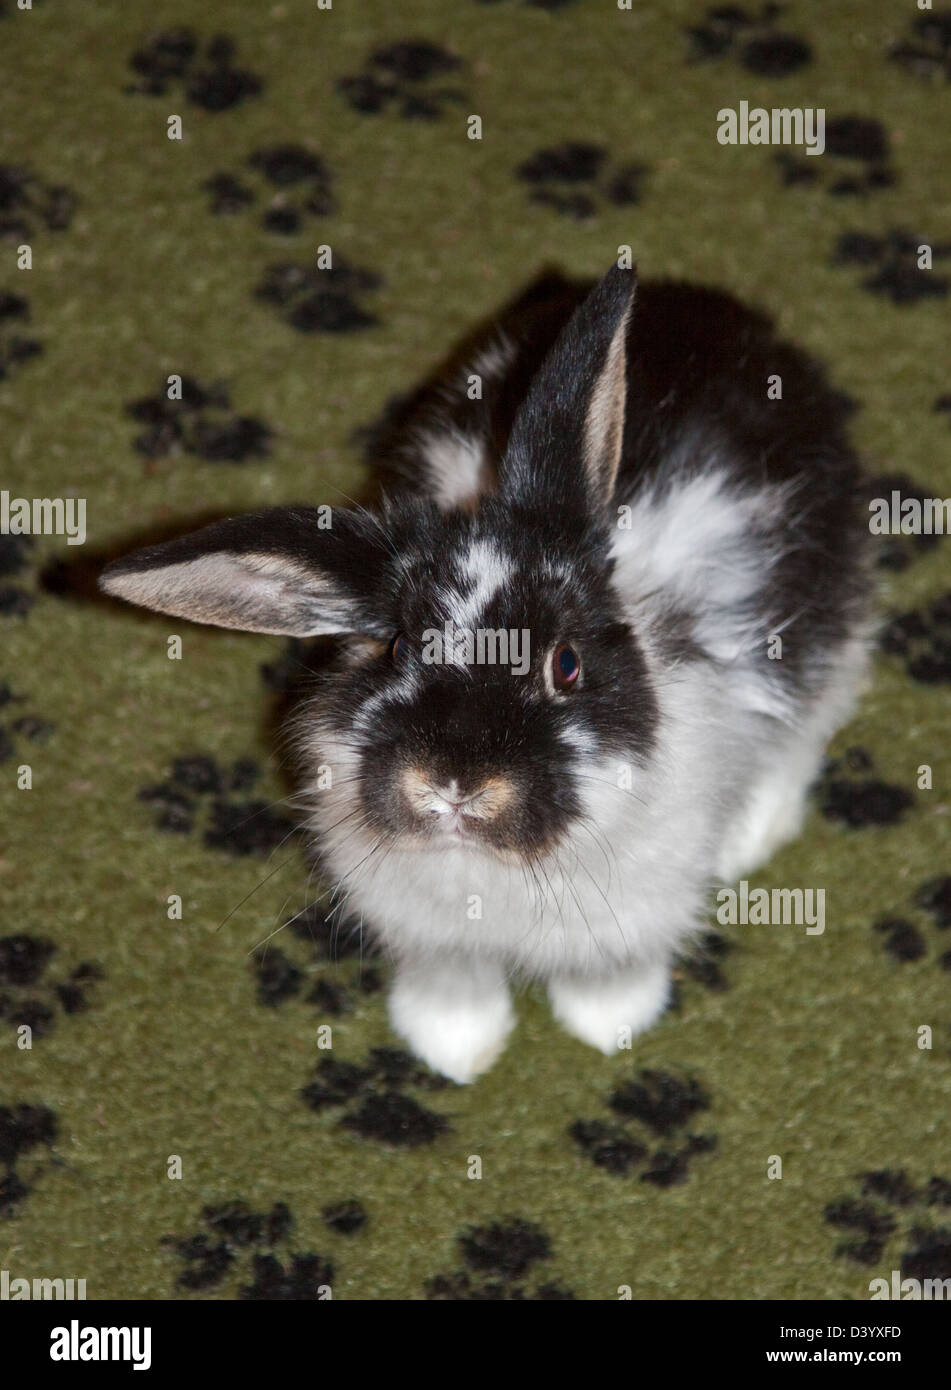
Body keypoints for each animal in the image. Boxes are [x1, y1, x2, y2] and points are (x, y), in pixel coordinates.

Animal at [100, 261, 873, 1083]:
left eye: (565, 664)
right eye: (395, 648)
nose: (454, 786)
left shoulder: (631, 918)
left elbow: (610, 975)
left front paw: (609, 1029)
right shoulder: (432, 939)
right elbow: (454, 986)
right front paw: (455, 1054)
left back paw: (751, 834)